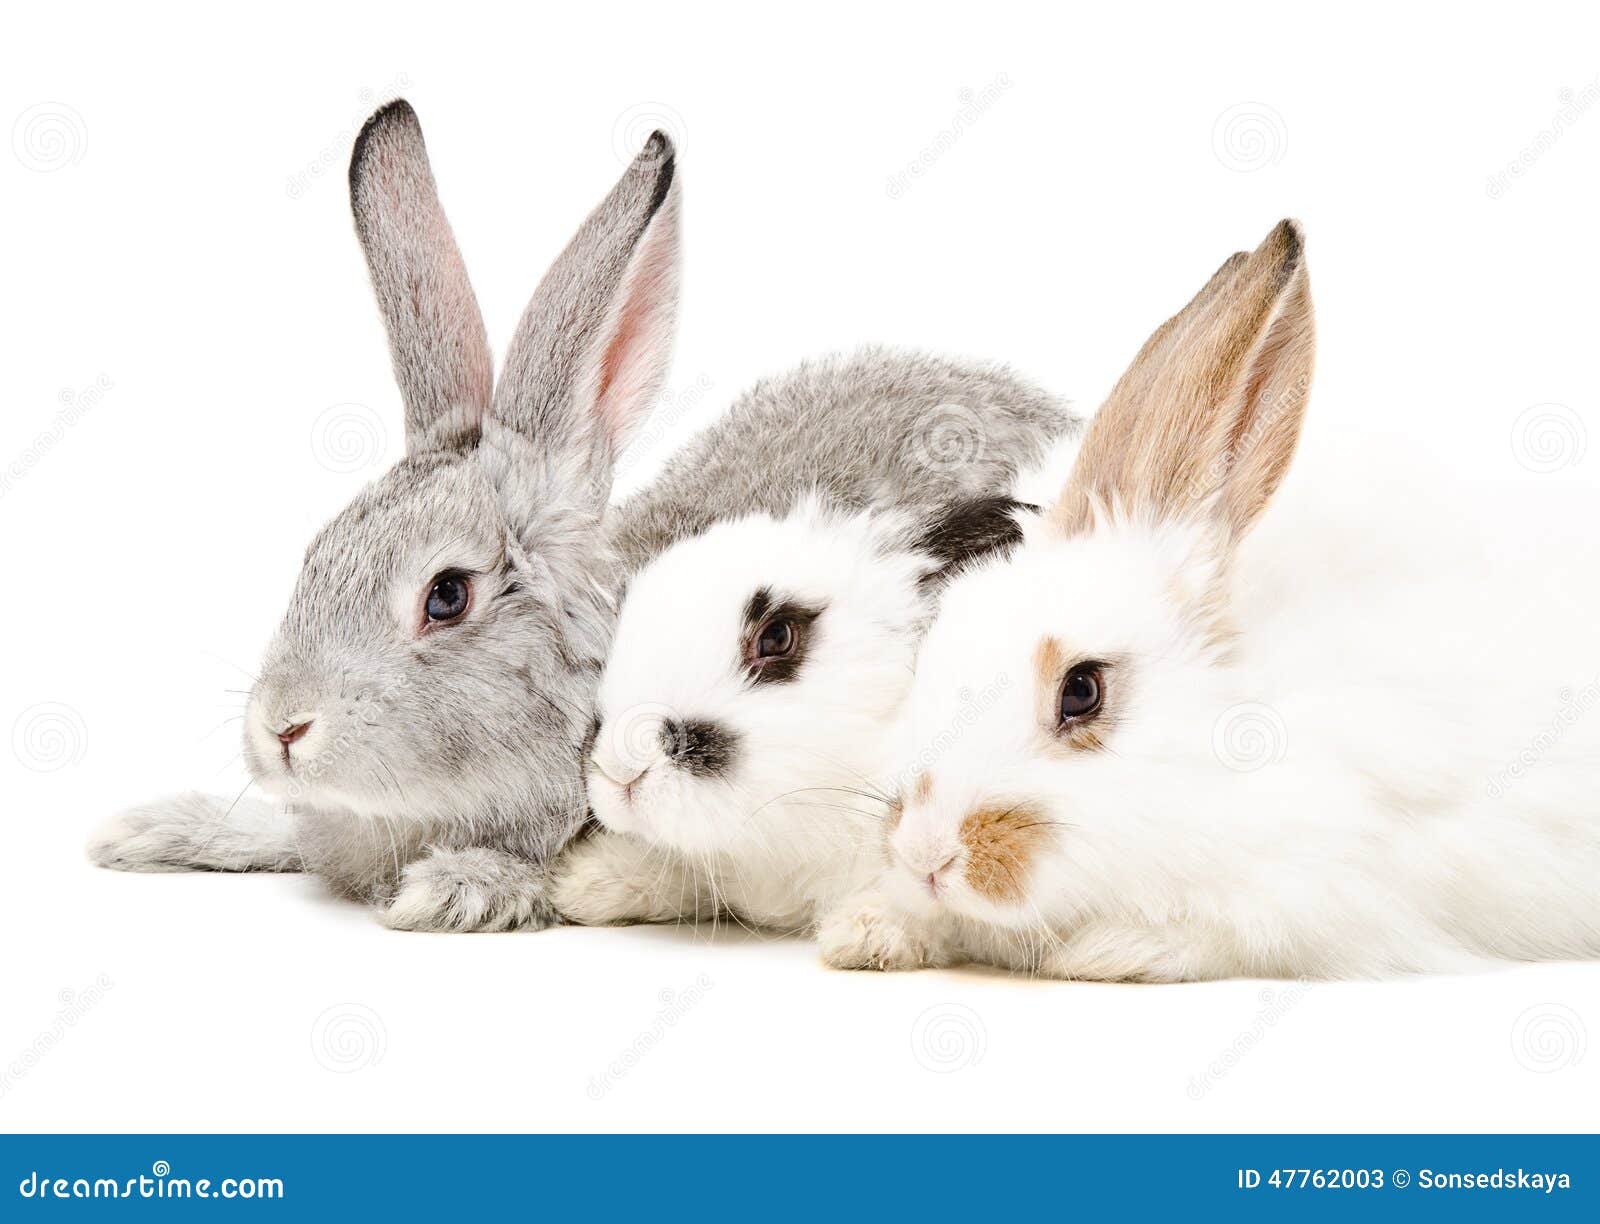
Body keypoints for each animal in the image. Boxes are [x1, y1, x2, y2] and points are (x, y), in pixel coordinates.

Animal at [822, 219, 1600, 980]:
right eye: (930, 656)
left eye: (1082, 691)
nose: (925, 855)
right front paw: (865, 935)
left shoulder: (1326, 891)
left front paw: (1110, 951)